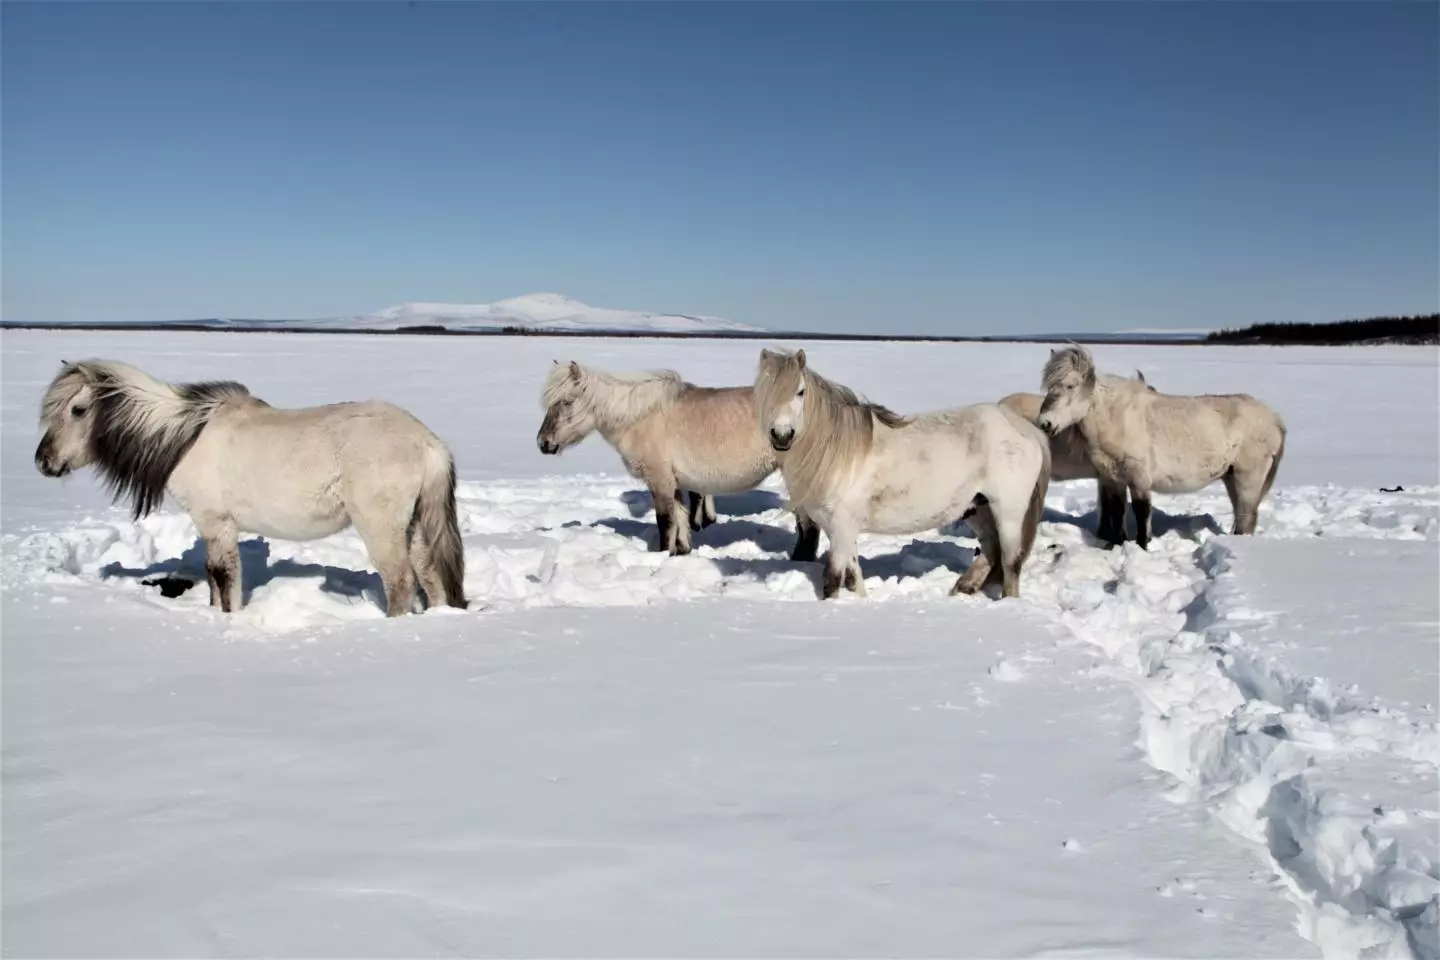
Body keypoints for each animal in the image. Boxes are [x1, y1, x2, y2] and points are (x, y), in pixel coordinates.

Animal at [33, 358, 463, 616]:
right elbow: (213, 577)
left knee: (400, 581)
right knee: (430, 576)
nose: (43, 461)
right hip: (414, 526)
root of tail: (428, 442)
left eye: (78, 410)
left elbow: (224, 577)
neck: (185, 437)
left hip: (381, 527)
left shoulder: (216, 523)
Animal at [535, 359, 823, 558]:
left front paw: (662, 554)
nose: (543, 443)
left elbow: (665, 521)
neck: (641, 417)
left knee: (809, 528)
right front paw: (680, 552)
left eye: (567, 401)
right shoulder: (674, 481)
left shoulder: (659, 479)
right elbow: (681, 519)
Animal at [754, 345, 1048, 601]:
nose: (782, 436)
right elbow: (854, 576)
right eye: (762, 392)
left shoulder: (841, 525)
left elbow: (833, 579)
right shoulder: (840, 529)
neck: (838, 453)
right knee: (991, 550)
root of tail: (1025, 428)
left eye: (800, 392)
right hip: (978, 508)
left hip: (1008, 511)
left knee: (1010, 561)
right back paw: (962, 589)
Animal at [1036, 345, 1284, 546]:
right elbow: (1116, 512)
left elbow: (1141, 513)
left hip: (1247, 479)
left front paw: (1142, 546)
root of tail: (1275, 419)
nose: (1044, 423)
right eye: (1049, 387)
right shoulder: (1112, 478)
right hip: (1231, 478)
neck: (1117, 418)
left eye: (1070, 386)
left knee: (1246, 517)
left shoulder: (1139, 479)